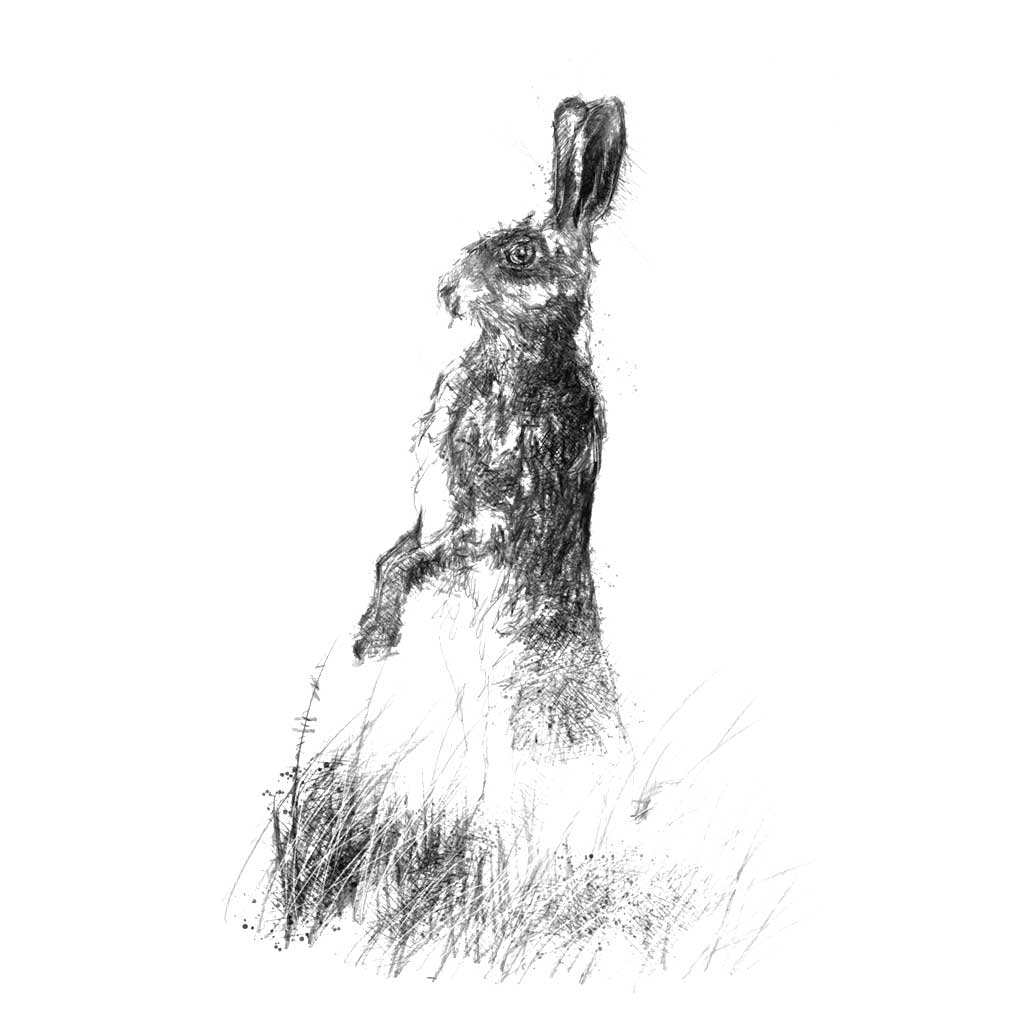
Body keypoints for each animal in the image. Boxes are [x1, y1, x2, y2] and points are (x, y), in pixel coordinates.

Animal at [353, 96, 629, 763]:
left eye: (519, 255)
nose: (447, 291)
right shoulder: (436, 513)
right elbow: (393, 555)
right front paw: (369, 634)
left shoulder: (501, 507)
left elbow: (412, 560)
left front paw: (374, 640)